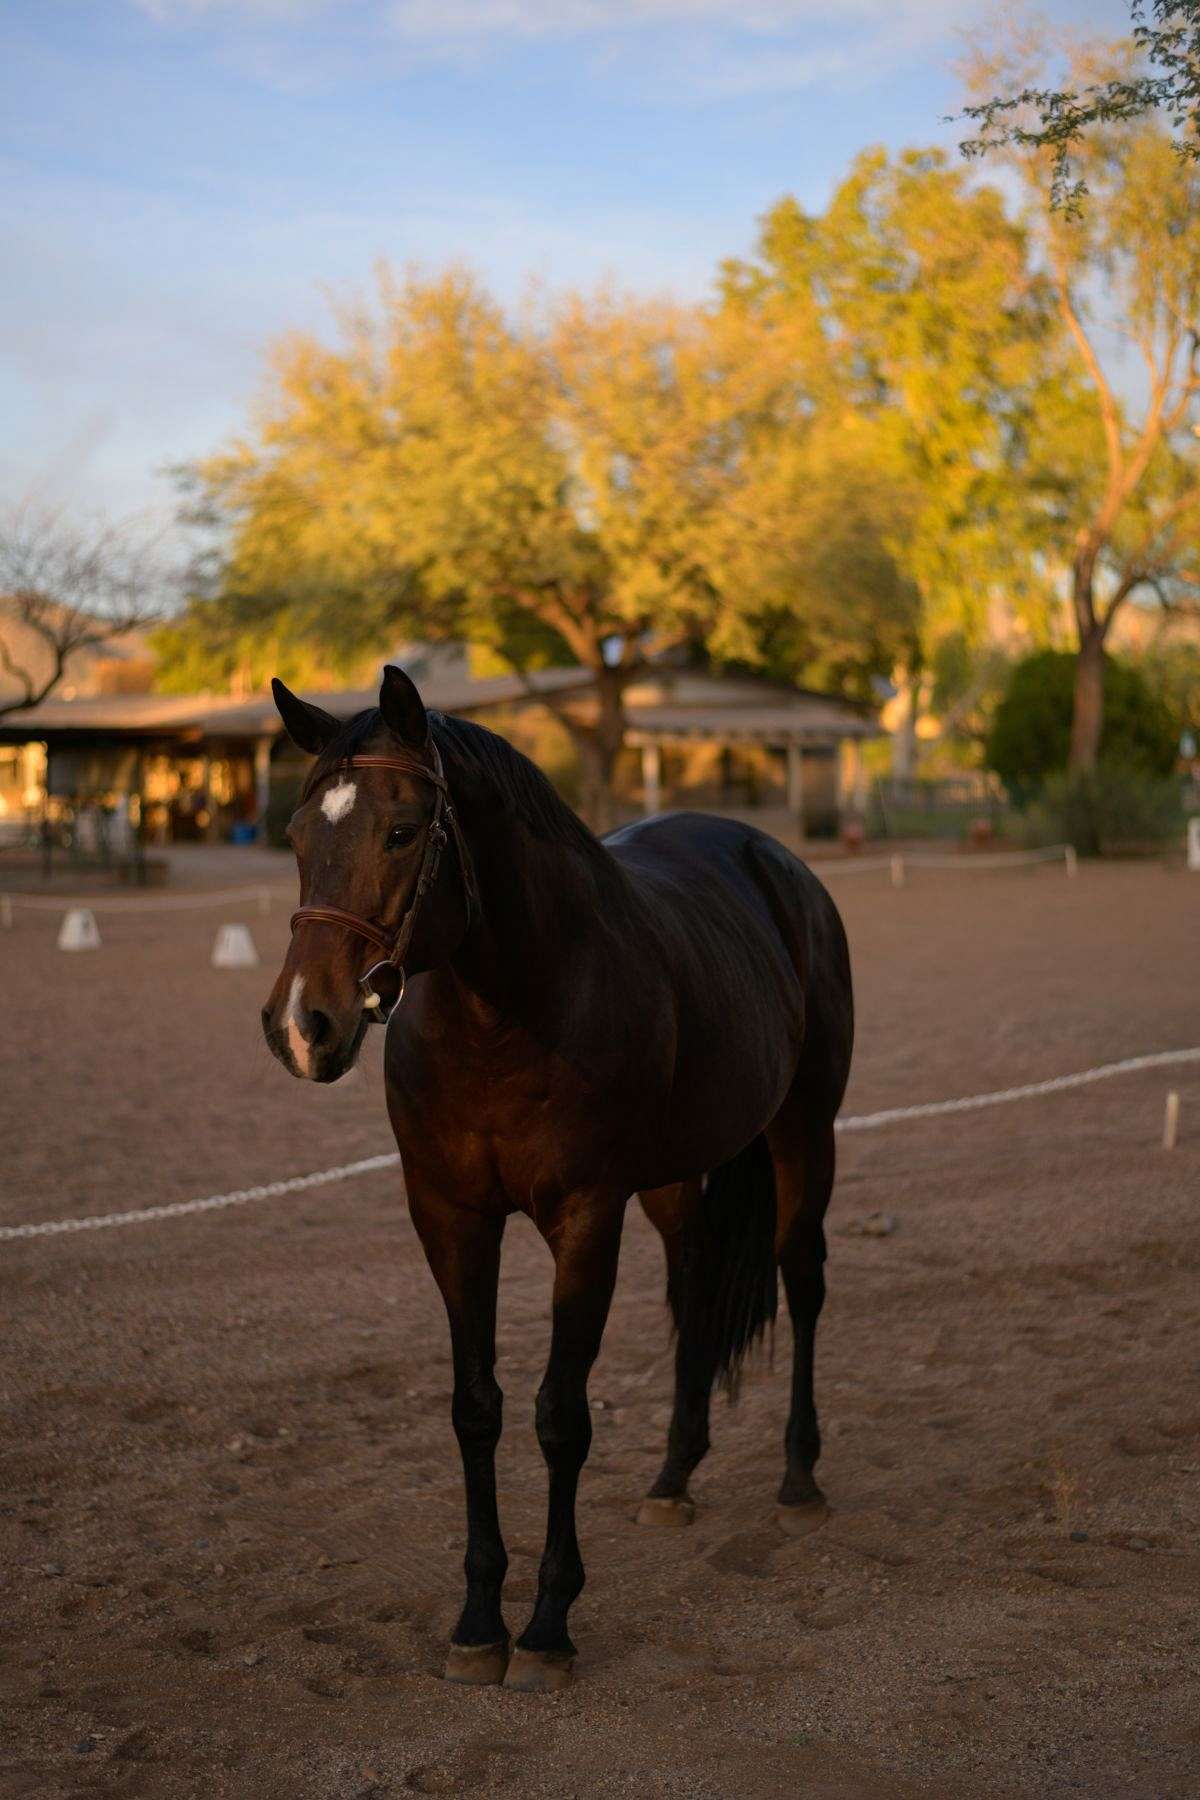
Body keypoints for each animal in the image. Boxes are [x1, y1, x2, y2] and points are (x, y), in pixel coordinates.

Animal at [262, 665, 854, 1692]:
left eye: (402, 831)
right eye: (298, 836)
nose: (305, 1024)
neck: (503, 1015)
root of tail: (780, 863)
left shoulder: (584, 1218)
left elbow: (558, 1416)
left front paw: (545, 1623)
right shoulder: (450, 1217)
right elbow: (476, 1410)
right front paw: (476, 1623)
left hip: (802, 1131)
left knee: (803, 1277)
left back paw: (798, 1474)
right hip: (673, 1177)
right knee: (697, 1281)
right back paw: (673, 1478)